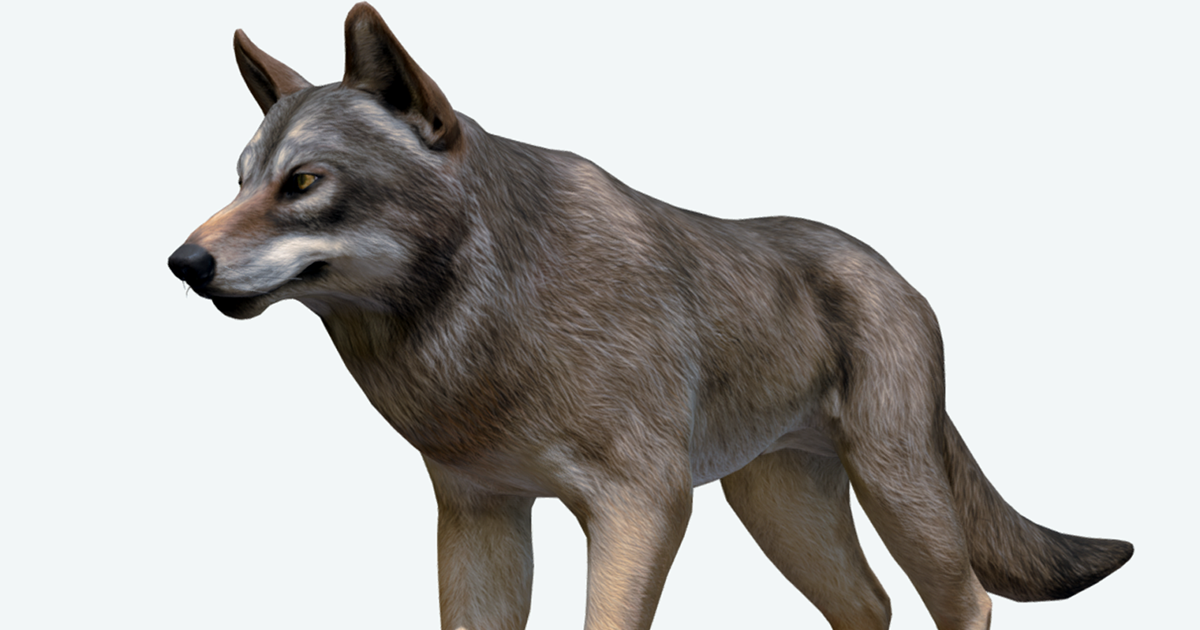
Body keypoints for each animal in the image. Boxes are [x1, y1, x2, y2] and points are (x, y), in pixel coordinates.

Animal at [167, 4, 1132, 629]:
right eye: (240, 179)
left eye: (303, 183)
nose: (183, 264)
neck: (490, 318)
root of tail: (898, 276)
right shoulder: (480, 515)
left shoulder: (640, 508)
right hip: (778, 503)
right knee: (869, 603)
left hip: (895, 488)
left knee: (965, 598)